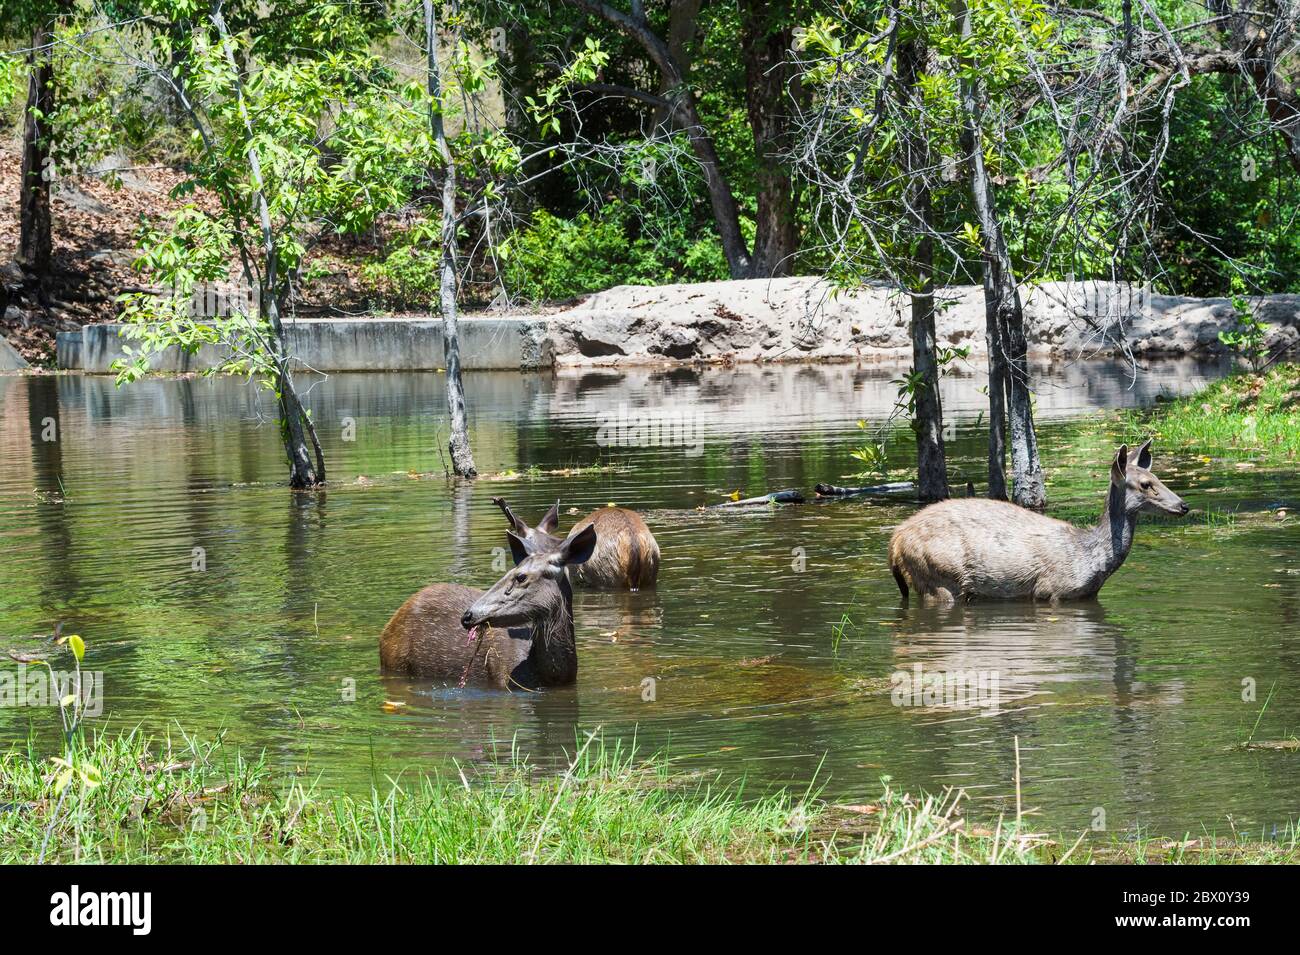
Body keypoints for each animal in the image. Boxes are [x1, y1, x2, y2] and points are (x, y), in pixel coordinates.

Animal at [888, 439, 1189, 604]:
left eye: (1158, 477)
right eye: (1146, 484)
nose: (1183, 505)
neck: (1091, 561)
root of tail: (895, 541)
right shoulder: (1052, 591)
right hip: (937, 576)